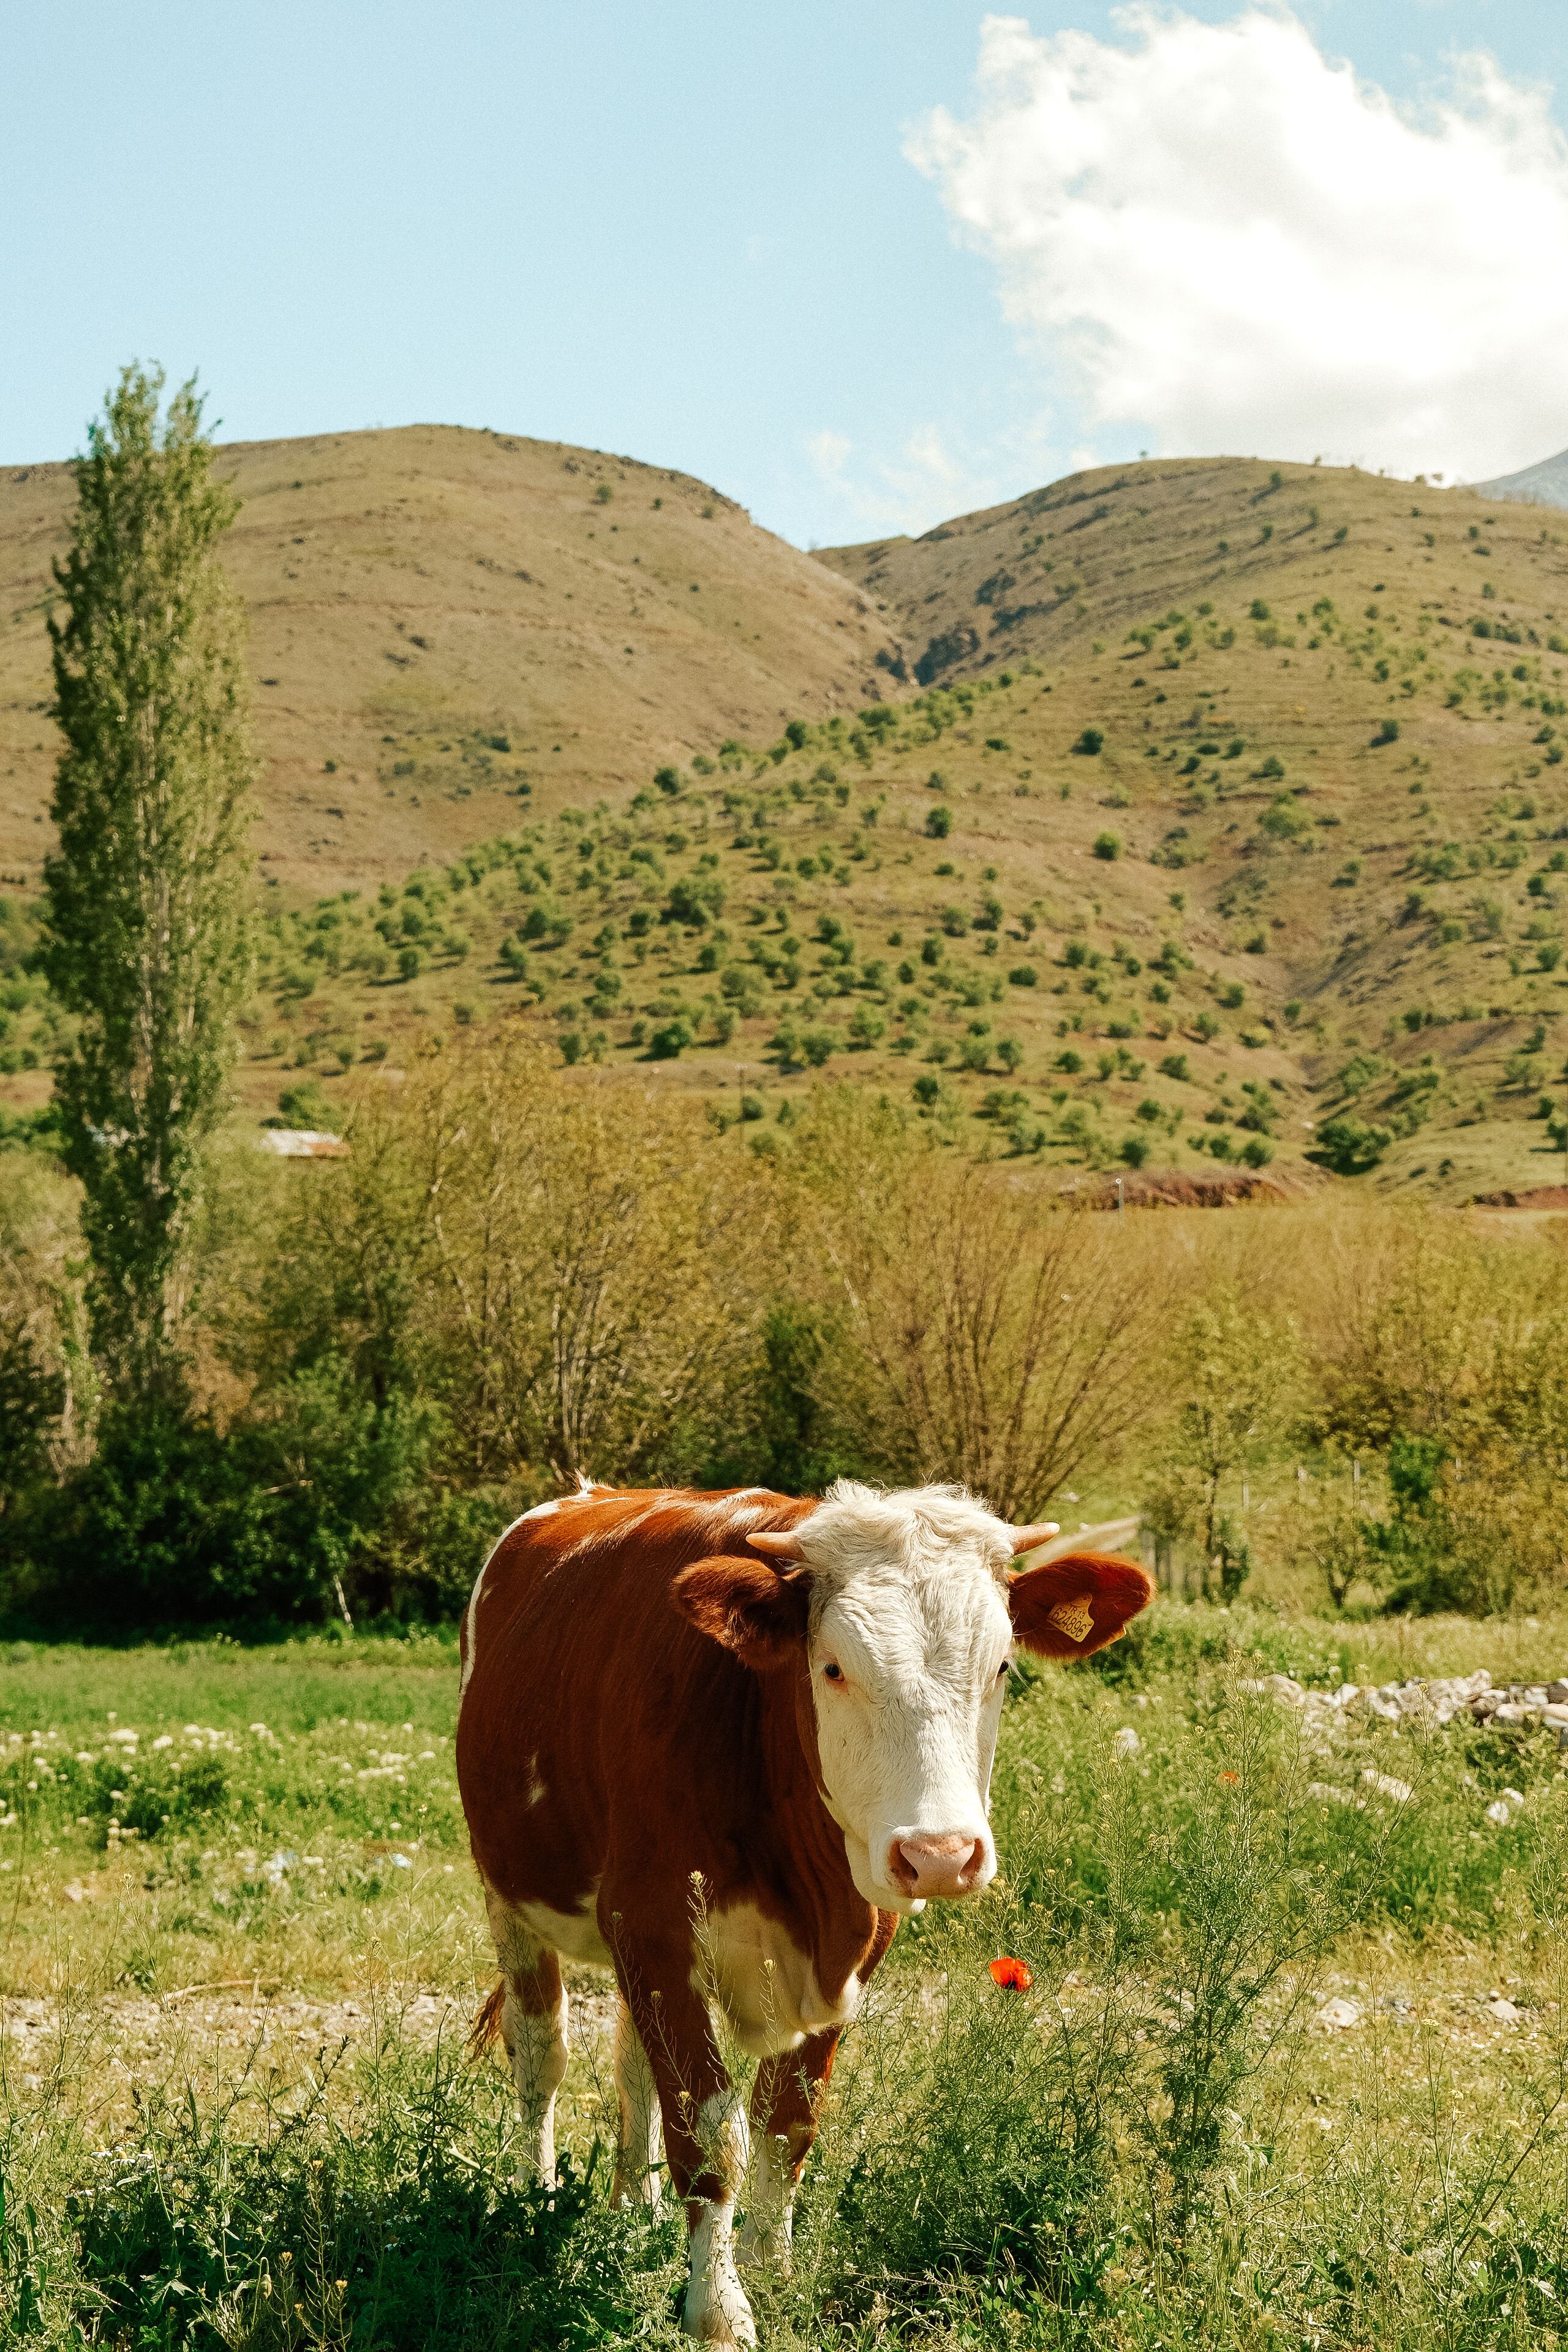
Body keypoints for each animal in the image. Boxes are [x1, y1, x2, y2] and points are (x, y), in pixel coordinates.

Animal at [456, 1478, 1152, 2345]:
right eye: (832, 1668)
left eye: (999, 1666)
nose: (941, 1855)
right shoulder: (653, 1926)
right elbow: (709, 2131)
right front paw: (718, 2310)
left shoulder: (851, 1947)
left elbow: (787, 2118)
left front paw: (769, 2270)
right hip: (508, 1893)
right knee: (539, 2052)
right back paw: (538, 2196)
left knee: (629, 2064)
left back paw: (632, 2208)